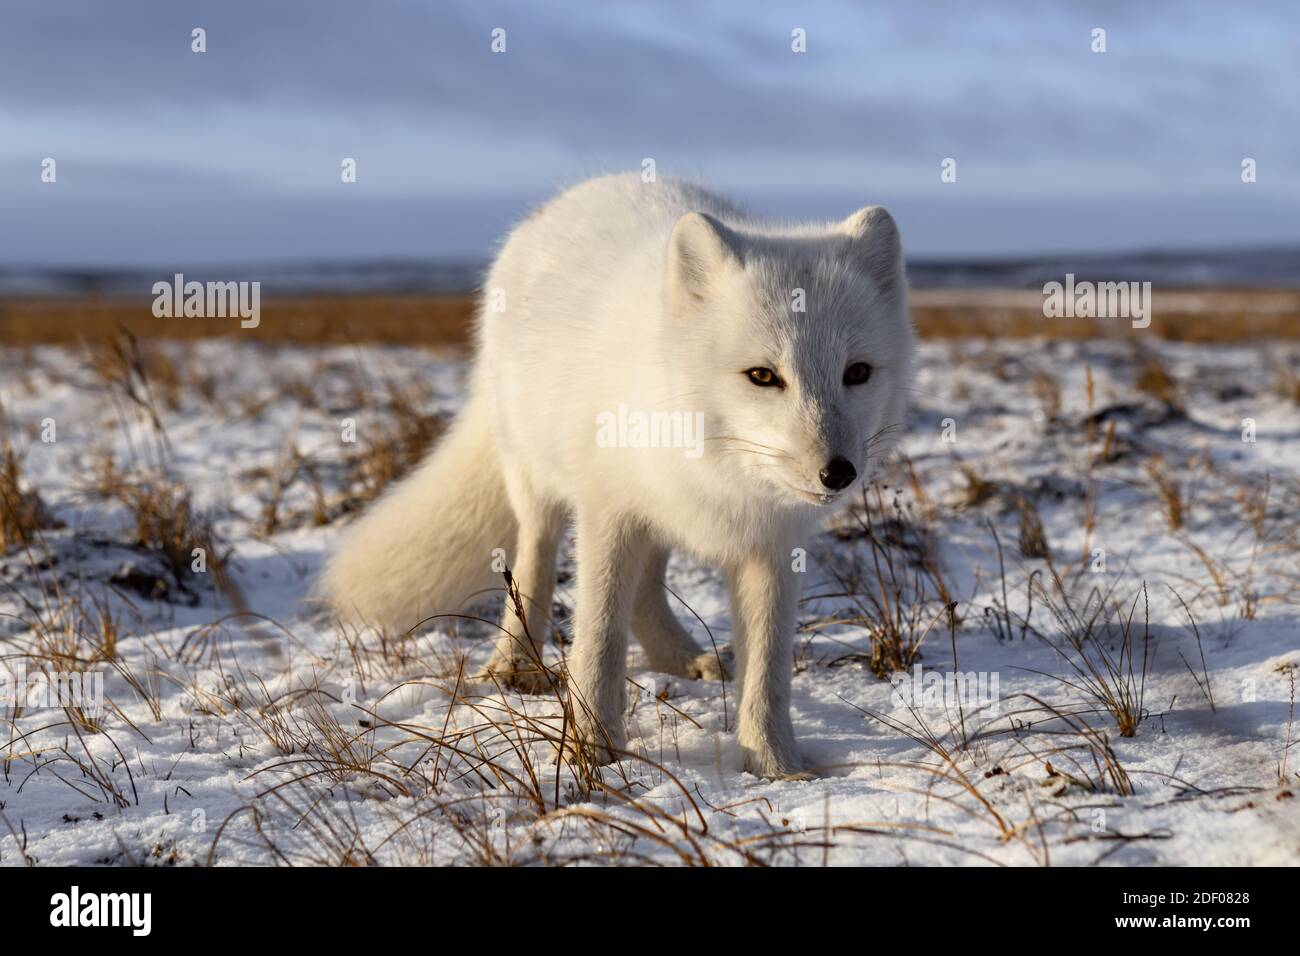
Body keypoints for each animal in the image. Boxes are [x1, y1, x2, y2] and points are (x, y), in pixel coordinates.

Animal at [323, 173, 915, 779]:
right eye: (763, 376)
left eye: (857, 373)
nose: (837, 473)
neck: (721, 476)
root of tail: (582, 190)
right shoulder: (608, 512)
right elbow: (600, 637)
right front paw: (590, 750)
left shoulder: (772, 547)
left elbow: (768, 670)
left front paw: (774, 764)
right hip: (539, 481)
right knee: (534, 563)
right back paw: (515, 664)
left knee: (649, 587)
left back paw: (680, 658)